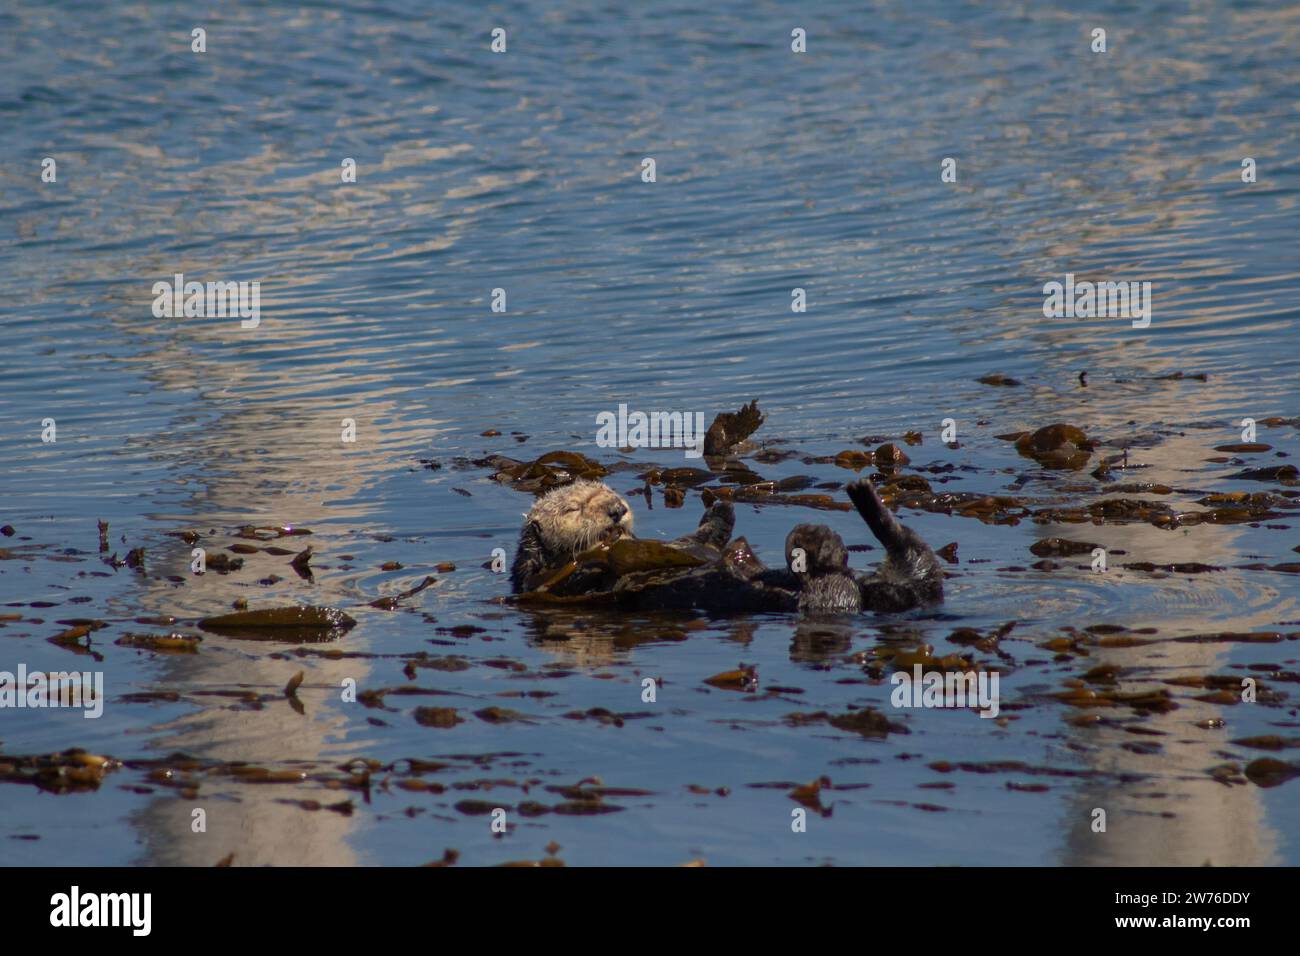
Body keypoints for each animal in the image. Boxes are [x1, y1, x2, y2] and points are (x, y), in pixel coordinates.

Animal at [510, 478, 943, 615]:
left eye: (611, 493)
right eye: (573, 507)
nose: (616, 510)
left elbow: (695, 539)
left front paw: (720, 509)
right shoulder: (553, 580)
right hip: (820, 599)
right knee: (830, 585)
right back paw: (816, 538)